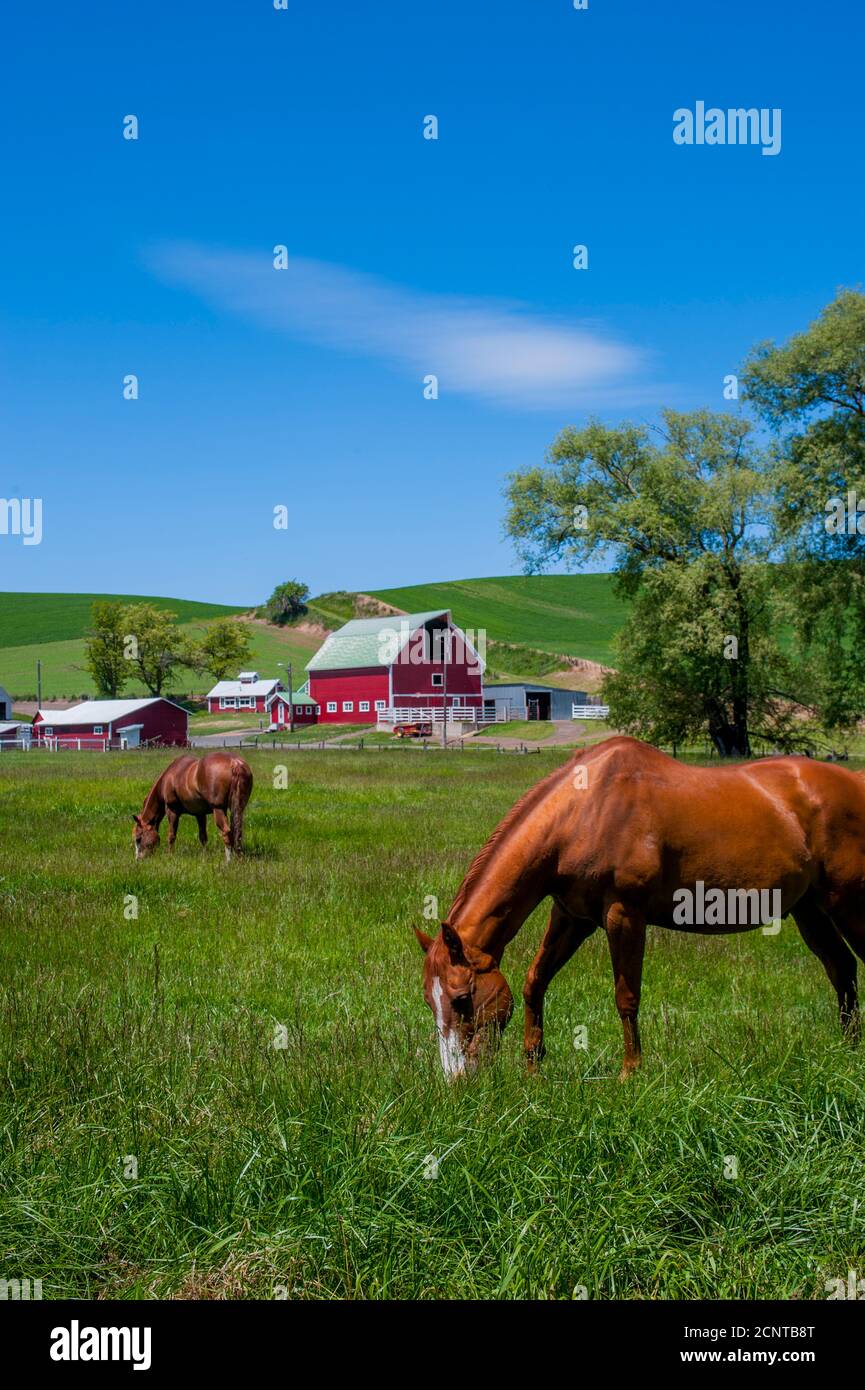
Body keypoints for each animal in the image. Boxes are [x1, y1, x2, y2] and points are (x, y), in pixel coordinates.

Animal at [416, 736, 865, 1080]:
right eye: (429, 1002)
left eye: (461, 999)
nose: (457, 1081)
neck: (585, 811)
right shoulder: (571, 916)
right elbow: (534, 981)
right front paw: (533, 1067)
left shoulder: (624, 915)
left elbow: (626, 996)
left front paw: (630, 1072)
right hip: (811, 909)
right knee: (840, 968)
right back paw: (848, 1048)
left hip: (848, 904)